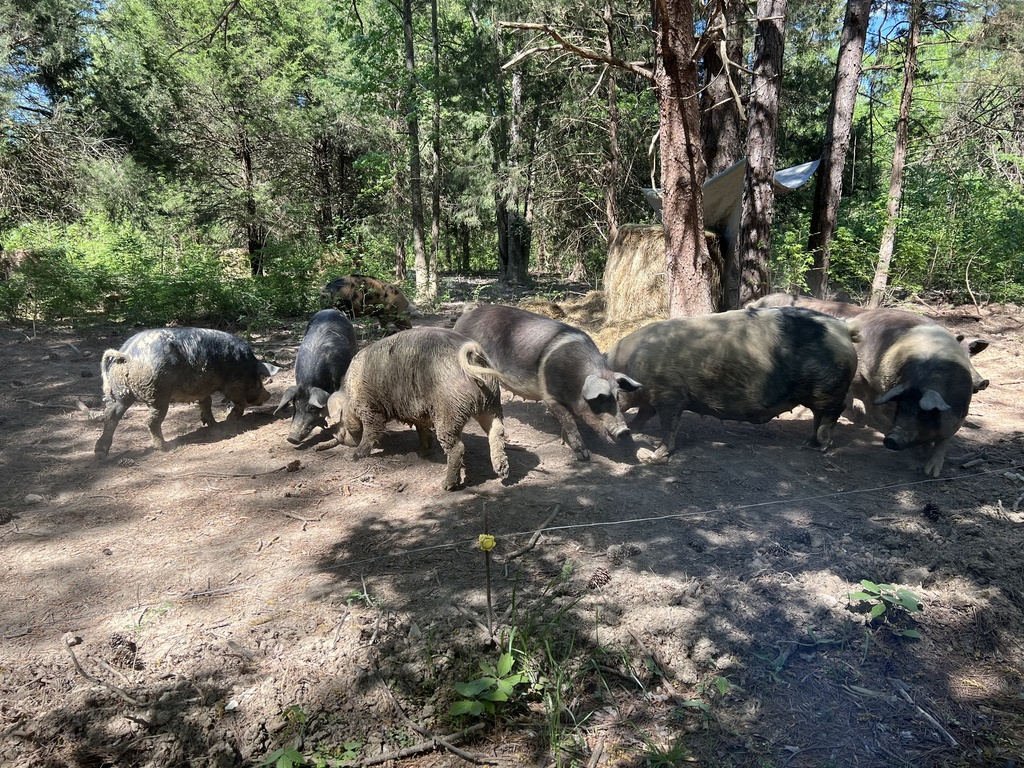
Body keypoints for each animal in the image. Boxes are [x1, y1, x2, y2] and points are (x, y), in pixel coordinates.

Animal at [91, 327, 280, 457]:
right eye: (260, 378)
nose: (268, 395)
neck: (247, 365)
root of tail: (126, 354)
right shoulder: (234, 384)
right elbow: (239, 402)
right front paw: (230, 420)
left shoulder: (203, 388)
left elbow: (206, 403)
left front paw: (214, 424)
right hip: (157, 393)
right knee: (150, 421)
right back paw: (166, 447)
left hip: (120, 394)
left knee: (111, 417)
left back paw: (100, 453)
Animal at [325, 327, 509, 491]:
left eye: (340, 419)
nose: (336, 435)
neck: (350, 392)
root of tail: (472, 354)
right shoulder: (420, 413)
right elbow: (422, 430)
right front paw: (422, 453)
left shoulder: (370, 409)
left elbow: (371, 432)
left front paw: (351, 456)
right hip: (491, 402)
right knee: (497, 431)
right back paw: (502, 471)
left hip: (448, 411)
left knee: (458, 447)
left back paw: (446, 485)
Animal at [452, 304, 642, 462]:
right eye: (600, 399)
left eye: (617, 397)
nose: (625, 431)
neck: (575, 380)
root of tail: (466, 315)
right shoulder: (548, 396)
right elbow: (568, 420)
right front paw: (583, 456)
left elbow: (569, 421)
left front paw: (567, 443)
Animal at [603, 306, 859, 464]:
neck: (631, 365)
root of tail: (843, 329)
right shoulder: (653, 397)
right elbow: (644, 414)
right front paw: (634, 429)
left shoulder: (669, 394)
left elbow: (669, 425)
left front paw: (654, 456)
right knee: (819, 416)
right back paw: (806, 444)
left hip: (829, 389)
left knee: (832, 413)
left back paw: (818, 447)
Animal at [845, 309, 976, 477]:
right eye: (901, 407)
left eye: (922, 413)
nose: (892, 439)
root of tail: (857, 318)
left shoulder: (960, 415)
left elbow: (943, 442)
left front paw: (932, 473)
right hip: (859, 376)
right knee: (867, 401)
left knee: (871, 403)